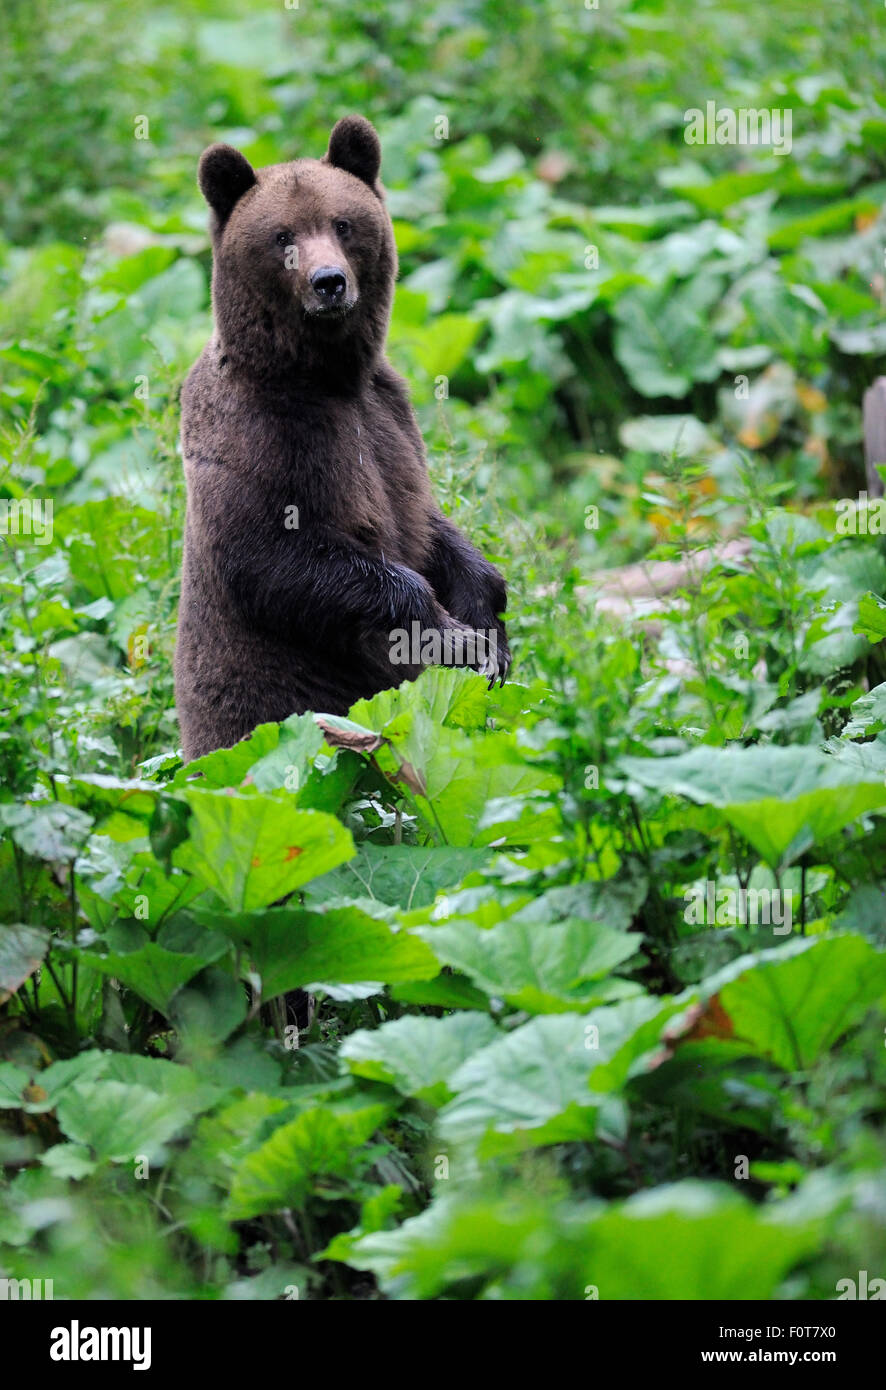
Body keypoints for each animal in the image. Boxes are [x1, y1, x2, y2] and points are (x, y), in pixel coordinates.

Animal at [174, 115, 510, 763]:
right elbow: (273, 554)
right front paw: (455, 636)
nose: (328, 282)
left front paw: (488, 616)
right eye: (282, 236)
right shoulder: (262, 434)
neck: (323, 376)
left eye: (343, 223)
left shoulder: (389, 417)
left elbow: (429, 518)